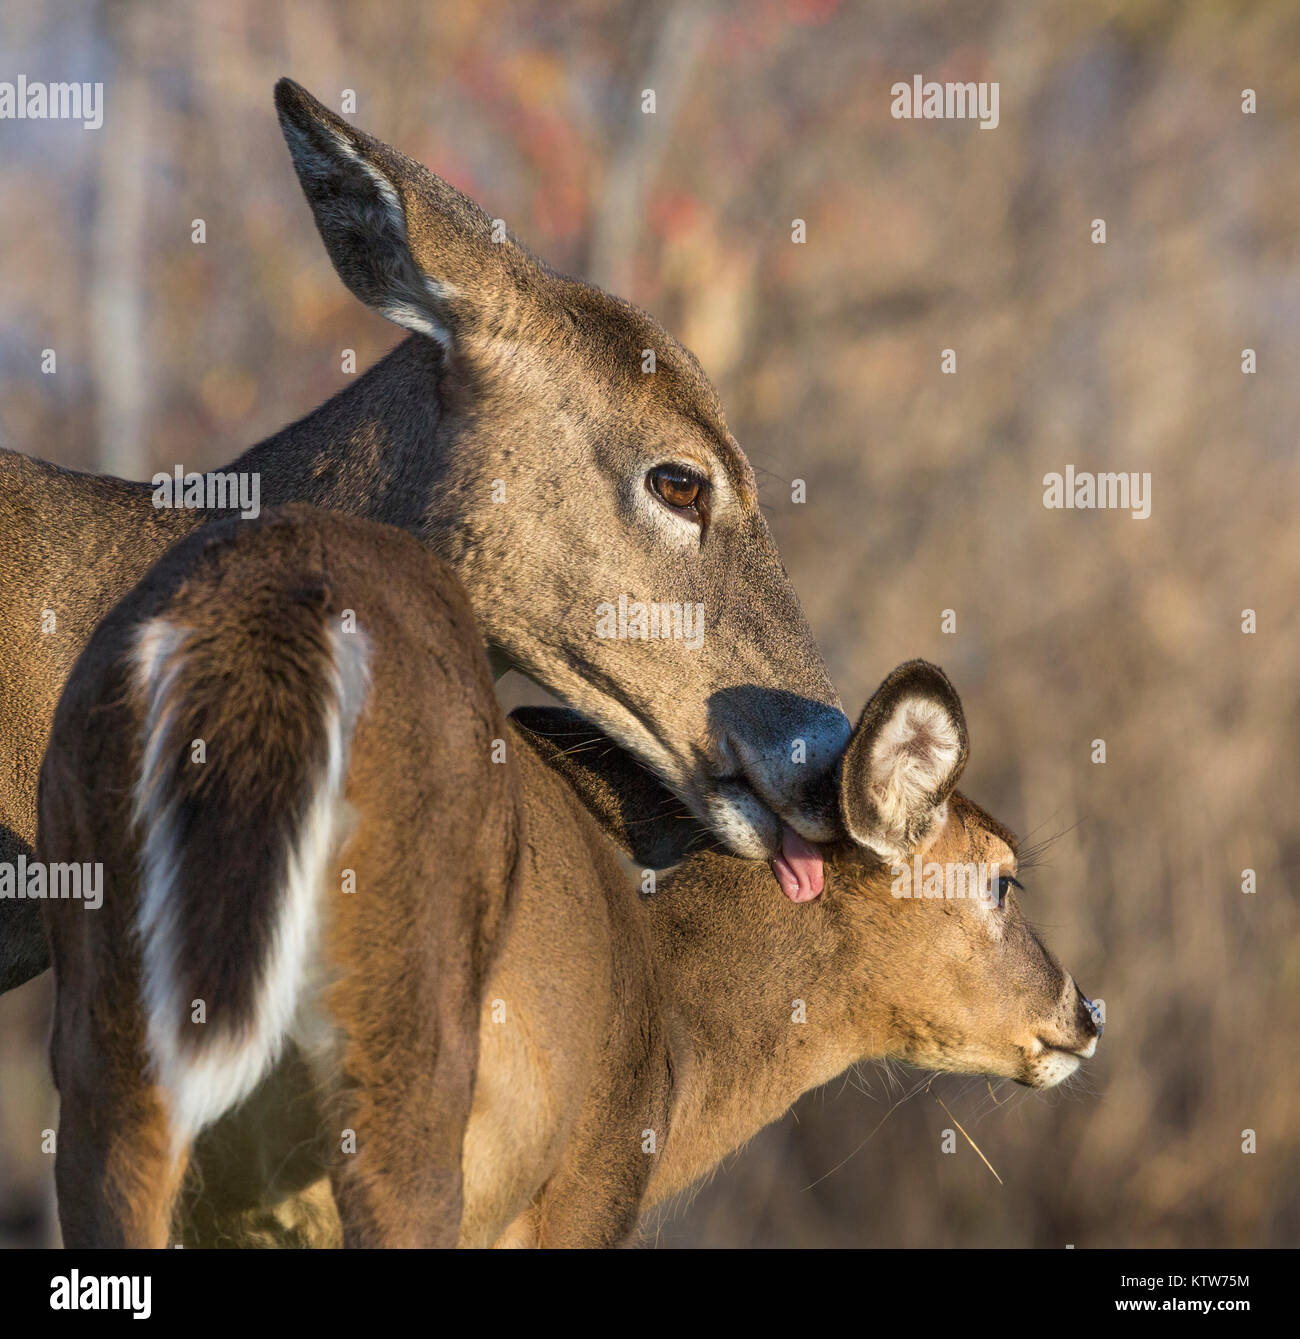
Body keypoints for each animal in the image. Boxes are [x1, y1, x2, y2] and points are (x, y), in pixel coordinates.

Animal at [38, 506, 1101, 1249]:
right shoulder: (590, 1184)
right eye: (1003, 880)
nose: (1084, 1012)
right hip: (408, 1065)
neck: (677, 1028)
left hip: (109, 1059)